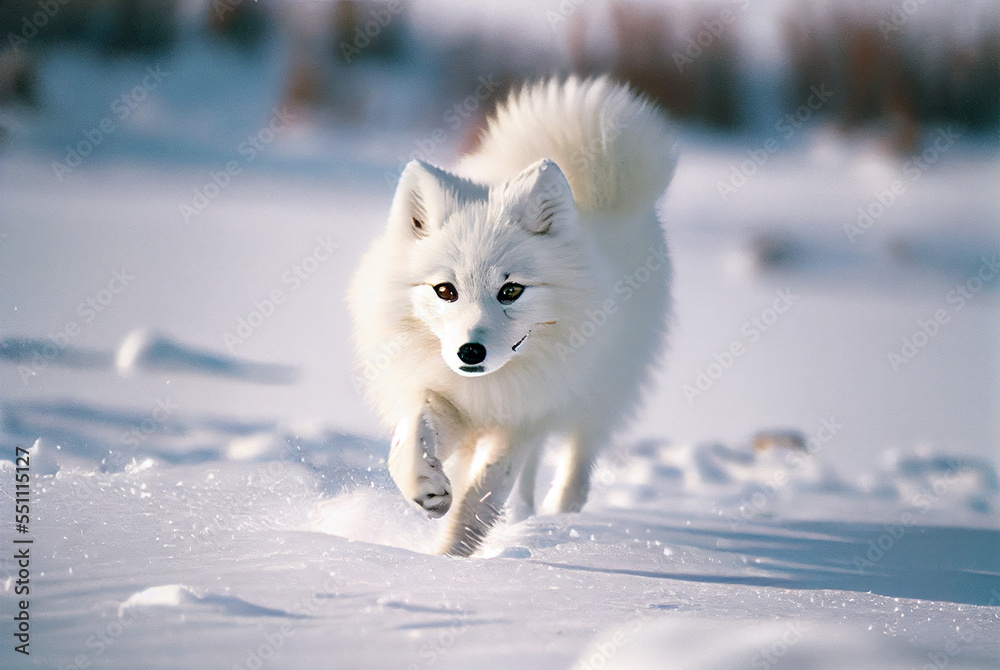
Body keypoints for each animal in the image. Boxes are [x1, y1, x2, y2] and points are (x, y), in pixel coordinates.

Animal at [349, 76, 677, 556]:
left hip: (601, 392)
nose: (470, 352)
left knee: (578, 460)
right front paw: (425, 487)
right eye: (446, 291)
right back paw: (521, 519)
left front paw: (447, 560)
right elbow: (410, 437)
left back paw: (558, 518)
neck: (489, 389)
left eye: (511, 290)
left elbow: (480, 499)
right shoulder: (448, 395)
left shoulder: (523, 417)